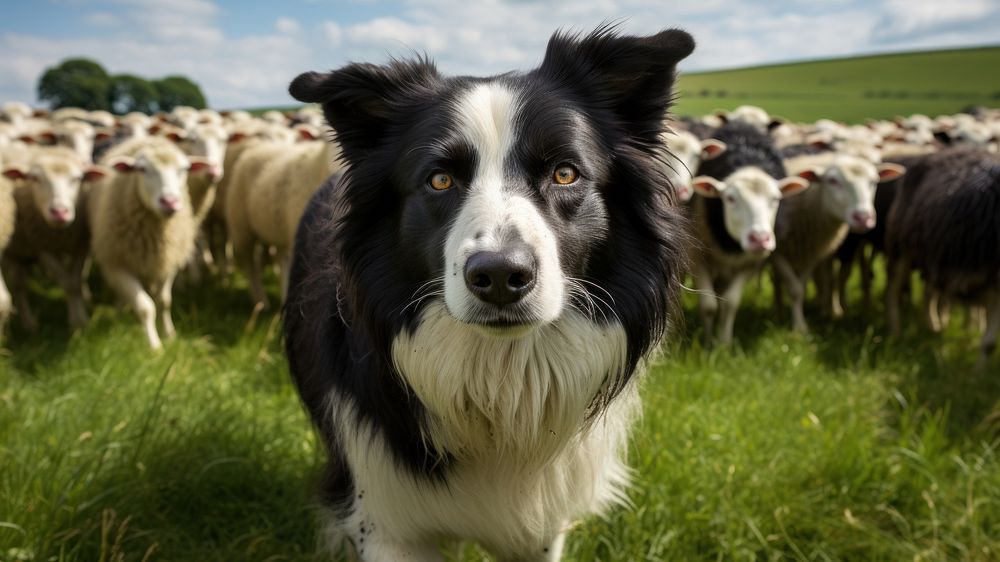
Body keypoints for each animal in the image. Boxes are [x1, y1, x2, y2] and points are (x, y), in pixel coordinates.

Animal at [1, 146, 105, 331]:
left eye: (77, 178)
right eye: (35, 178)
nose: (59, 212)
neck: (59, 234)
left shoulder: (81, 245)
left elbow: (75, 283)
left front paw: (82, 322)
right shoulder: (42, 248)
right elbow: (67, 284)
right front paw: (76, 323)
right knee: (19, 288)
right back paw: (29, 324)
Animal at [90, 137, 207, 349]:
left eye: (184, 169)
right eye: (142, 169)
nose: (169, 202)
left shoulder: (169, 262)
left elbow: (164, 301)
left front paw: (170, 334)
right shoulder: (117, 265)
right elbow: (145, 307)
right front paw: (154, 346)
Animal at [687, 121, 810, 345]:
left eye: (776, 199)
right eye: (730, 198)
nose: (760, 239)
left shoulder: (752, 263)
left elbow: (730, 302)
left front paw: (724, 342)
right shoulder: (696, 257)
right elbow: (708, 305)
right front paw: (707, 342)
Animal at [771, 152, 905, 332]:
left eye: (873, 181)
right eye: (833, 181)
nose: (863, 218)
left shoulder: (813, 253)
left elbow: (801, 288)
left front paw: (802, 322)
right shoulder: (777, 253)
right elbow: (794, 289)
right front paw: (799, 328)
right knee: (777, 281)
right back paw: (778, 310)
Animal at [885, 147, 1000, 368]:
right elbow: (989, 344)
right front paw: (978, 373)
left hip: (935, 256)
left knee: (930, 292)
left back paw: (934, 326)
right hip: (900, 246)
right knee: (893, 290)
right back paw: (895, 333)